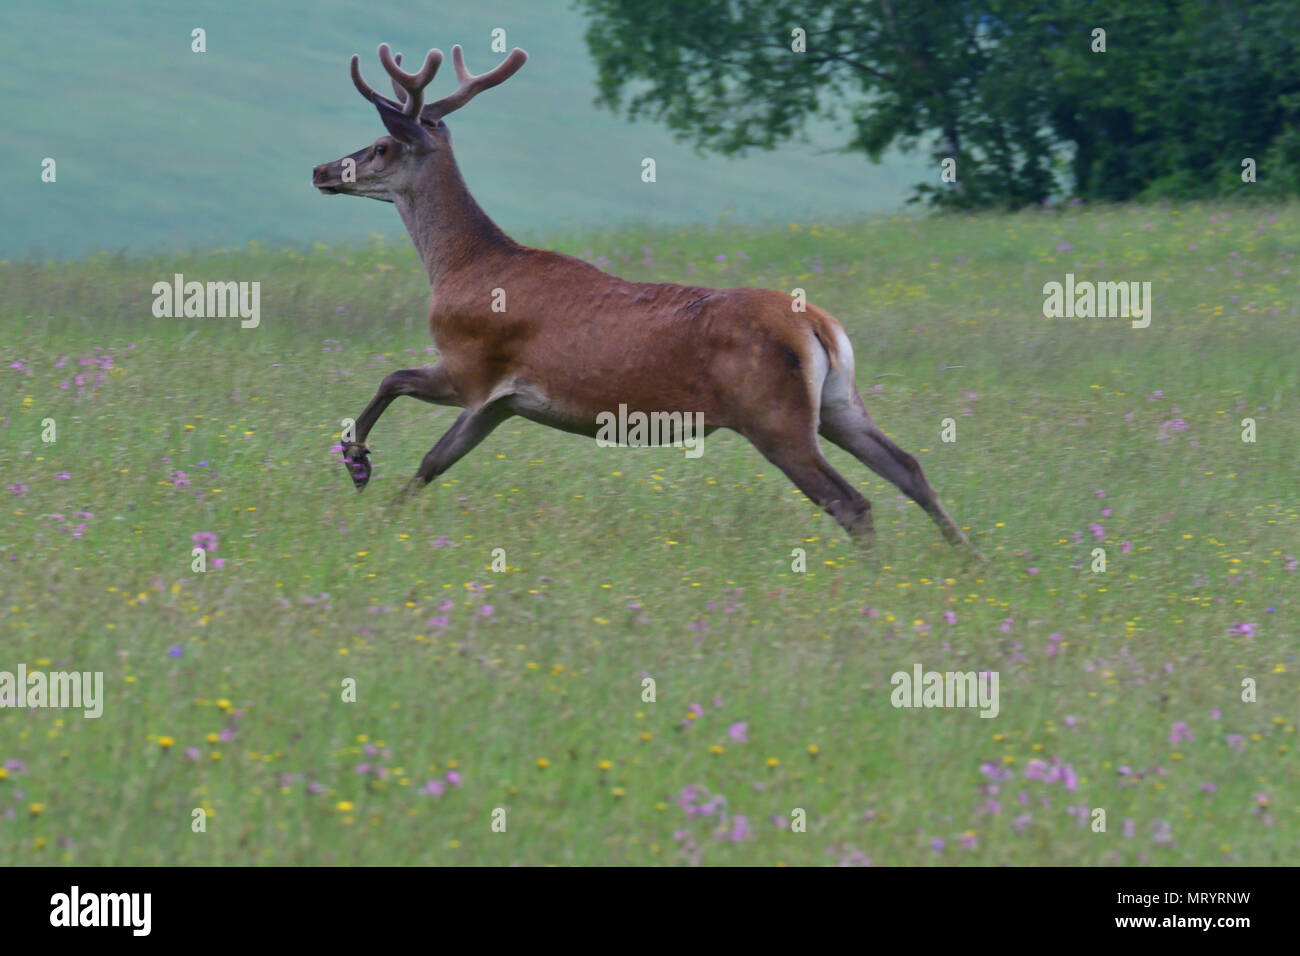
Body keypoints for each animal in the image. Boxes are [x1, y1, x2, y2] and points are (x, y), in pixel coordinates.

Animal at [312, 40, 979, 555]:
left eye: (379, 145)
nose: (321, 170)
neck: (460, 268)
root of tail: (820, 325)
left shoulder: (472, 365)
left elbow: (392, 381)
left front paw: (357, 462)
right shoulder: (501, 403)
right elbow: (433, 462)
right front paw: (382, 512)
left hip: (774, 417)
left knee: (852, 501)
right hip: (839, 402)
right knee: (910, 468)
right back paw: (970, 561)